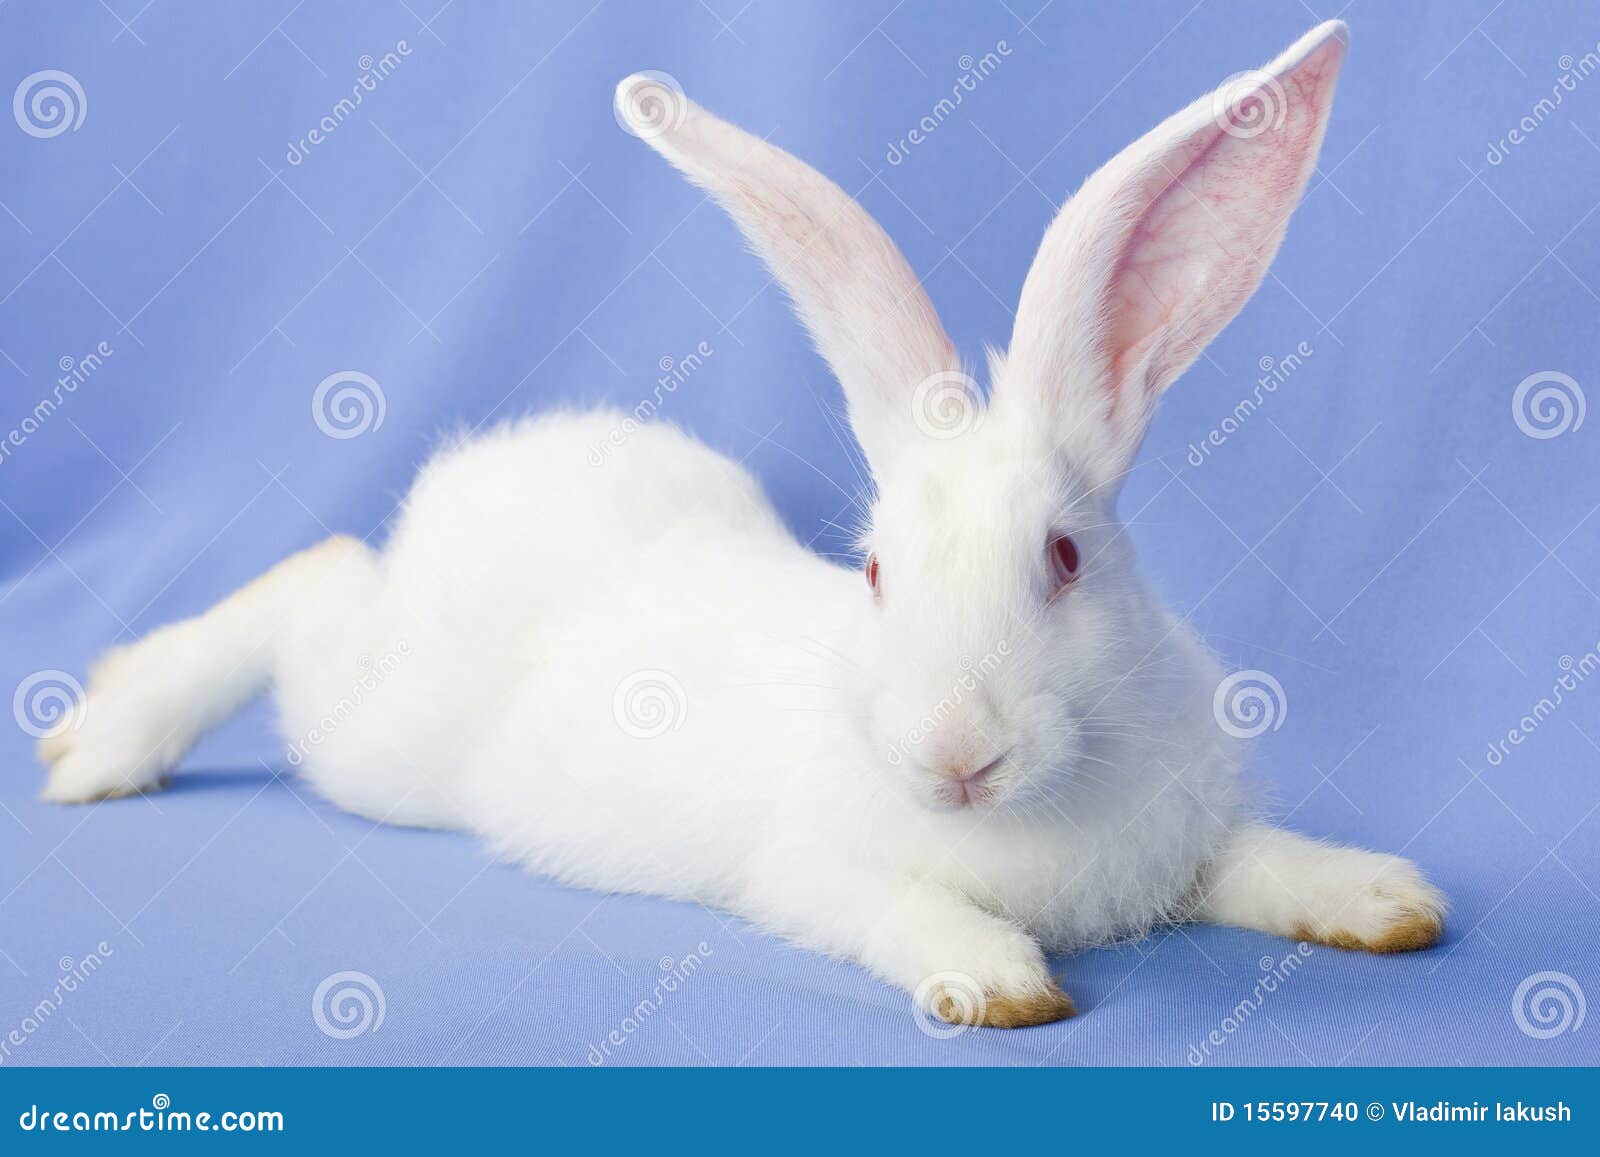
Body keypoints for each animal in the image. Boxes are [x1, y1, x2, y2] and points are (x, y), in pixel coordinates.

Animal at [38, 19, 1443, 1028]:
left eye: (1064, 555)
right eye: (874, 569)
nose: (954, 754)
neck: (1031, 814)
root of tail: (478, 478)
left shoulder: (1198, 842)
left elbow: (1263, 860)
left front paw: (1391, 900)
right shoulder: (816, 873)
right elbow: (900, 911)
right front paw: (1001, 985)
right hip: (375, 735)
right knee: (313, 580)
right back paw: (99, 741)